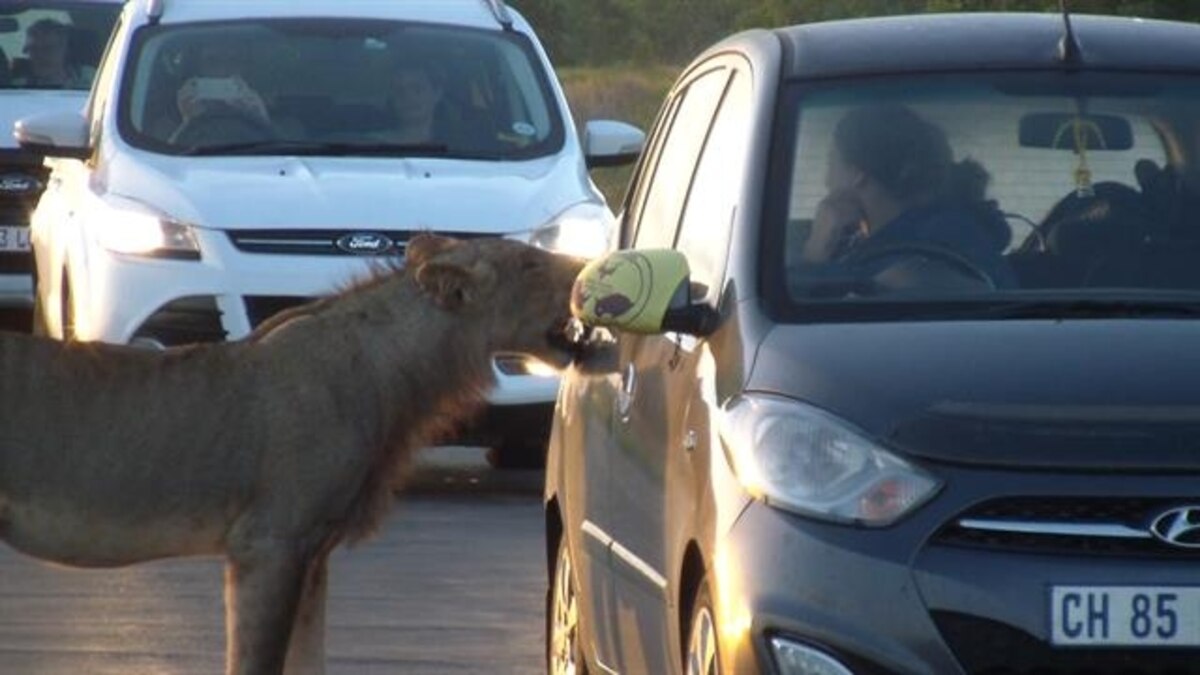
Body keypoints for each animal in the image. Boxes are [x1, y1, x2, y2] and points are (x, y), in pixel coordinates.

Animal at [0, 233, 585, 674]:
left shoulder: (313, 554)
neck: (397, 370)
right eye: (531, 265)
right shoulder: (270, 543)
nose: (587, 267)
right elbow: (255, 663)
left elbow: (309, 662)